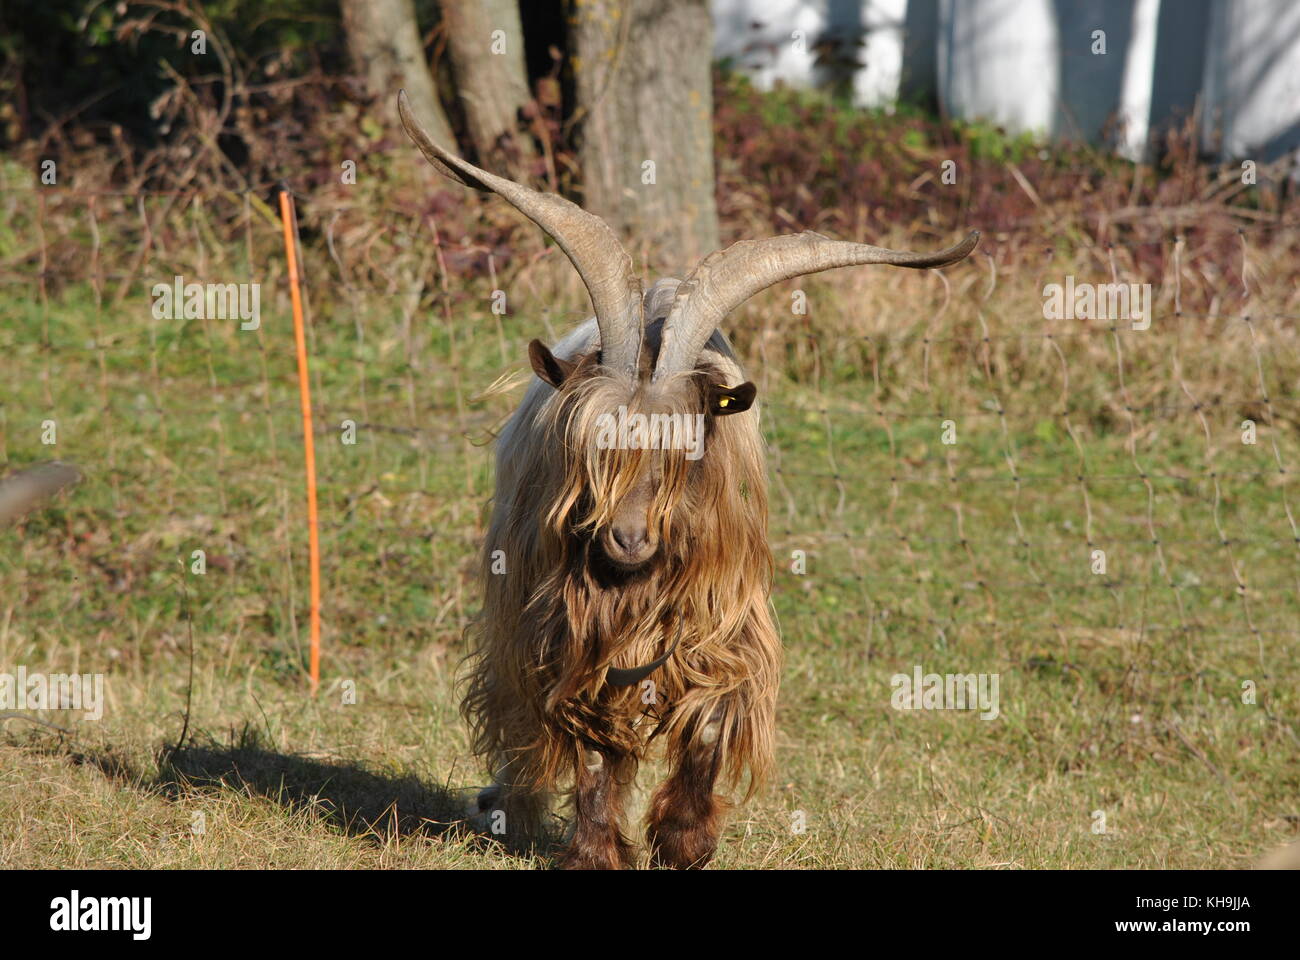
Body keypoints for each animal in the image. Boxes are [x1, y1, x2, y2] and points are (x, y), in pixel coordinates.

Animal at [399, 90, 978, 868]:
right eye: (595, 453)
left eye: (685, 456)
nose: (626, 540)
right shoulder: (563, 630)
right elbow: (589, 744)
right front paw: (595, 852)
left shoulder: (725, 621)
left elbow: (708, 719)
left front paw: (683, 840)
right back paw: (506, 803)